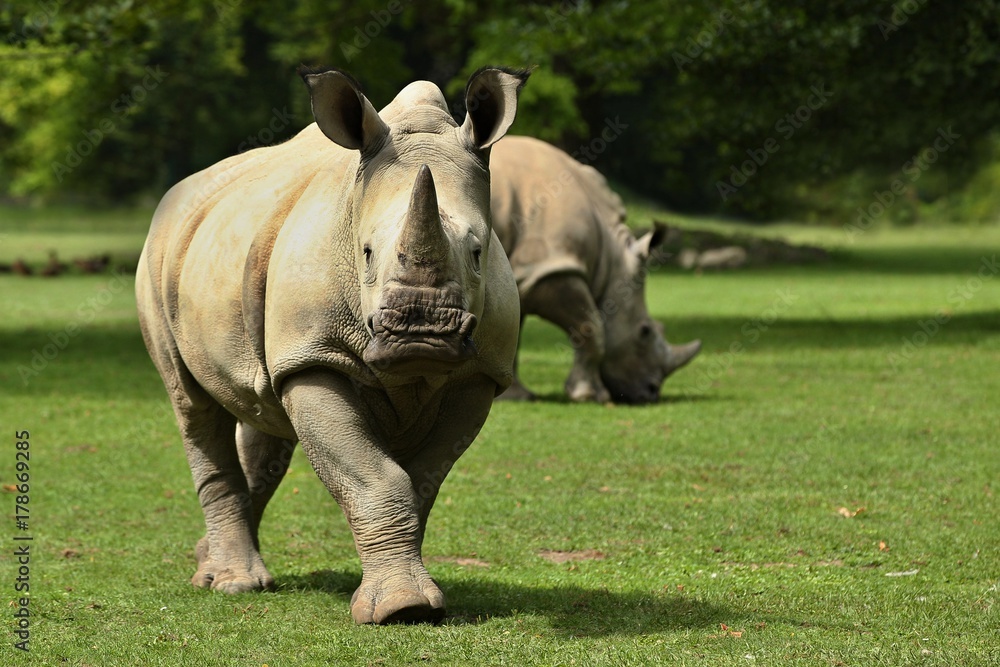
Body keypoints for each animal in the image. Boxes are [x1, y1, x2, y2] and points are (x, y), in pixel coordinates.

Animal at [135, 66, 528, 624]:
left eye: (477, 253)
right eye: (364, 253)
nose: (422, 333)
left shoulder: (478, 374)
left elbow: (420, 481)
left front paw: (411, 599)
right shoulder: (316, 358)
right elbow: (375, 478)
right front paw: (400, 610)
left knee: (264, 413)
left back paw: (209, 563)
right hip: (157, 260)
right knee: (192, 404)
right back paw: (232, 584)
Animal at [489, 136, 701, 404]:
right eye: (645, 331)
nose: (651, 392)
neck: (611, 260)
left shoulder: (524, 275)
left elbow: (511, 333)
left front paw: (516, 396)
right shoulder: (551, 270)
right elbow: (591, 326)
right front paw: (591, 396)